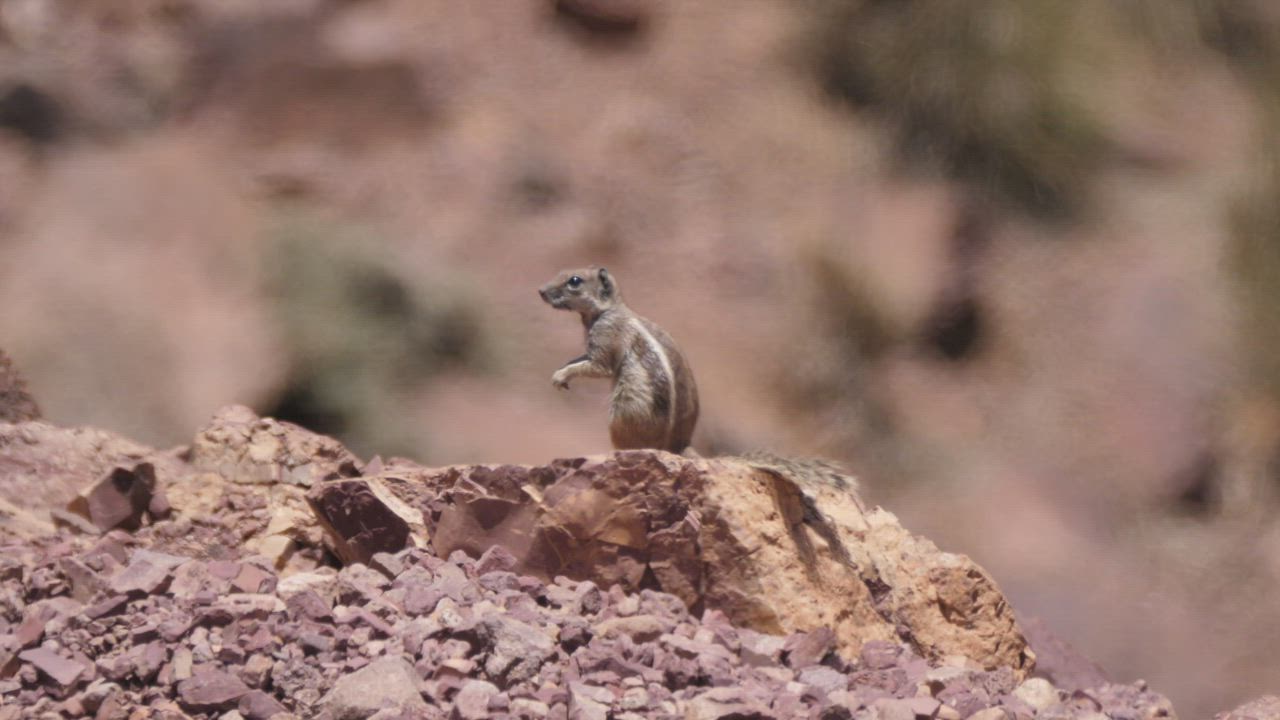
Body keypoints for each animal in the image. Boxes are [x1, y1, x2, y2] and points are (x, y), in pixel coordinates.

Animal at [539, 266, 699, 454]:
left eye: (575, 280)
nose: (540, 291)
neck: (609, 308)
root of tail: (679, 445)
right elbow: (581, 359)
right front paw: (561, 369)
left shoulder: (605, 335)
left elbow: (599, 366)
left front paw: (561, 376)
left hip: (624, 410)